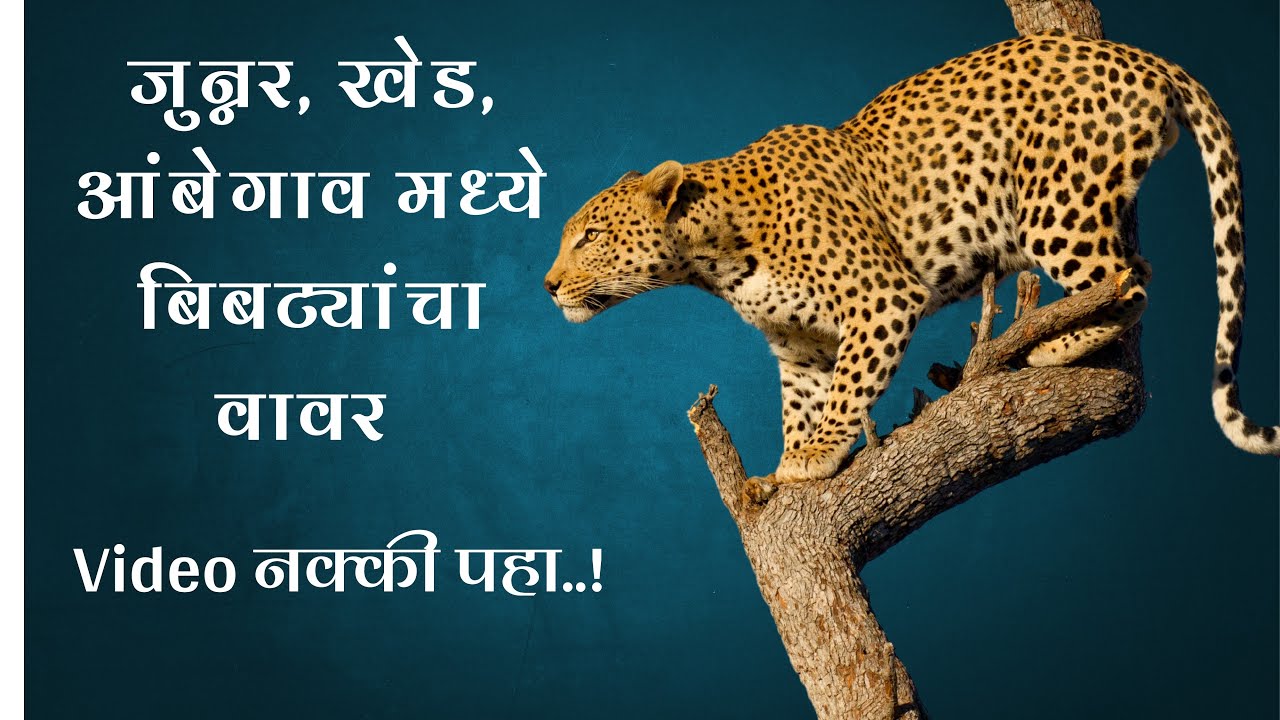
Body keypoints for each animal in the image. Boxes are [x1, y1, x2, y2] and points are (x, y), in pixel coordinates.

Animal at [543, 30, 1280, 484]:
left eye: (590, 237)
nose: (548, 285)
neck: (713, 259)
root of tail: (1143, 58)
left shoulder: (881, 299)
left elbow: (850, 388)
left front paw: (814, 455)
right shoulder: (798, 346)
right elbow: (802, 401)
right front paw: (791, 463)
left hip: (1054, 210)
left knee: (1130, 281)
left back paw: (1050, 346)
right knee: (1137, 271)